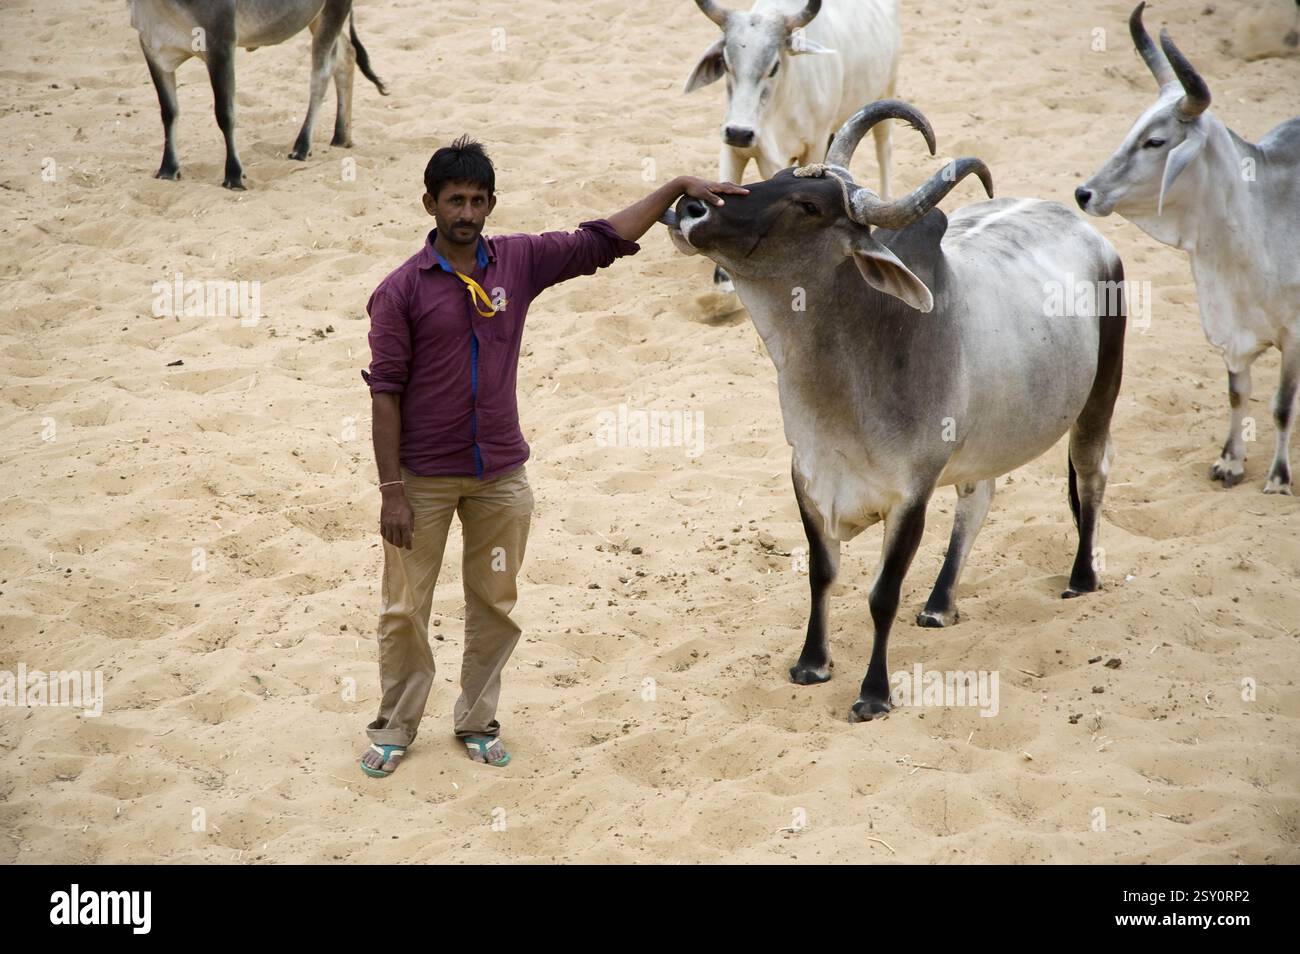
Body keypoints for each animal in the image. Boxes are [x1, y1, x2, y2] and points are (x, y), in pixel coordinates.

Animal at [129, 0, 387, 189]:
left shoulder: (220, 43)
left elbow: (225, 114)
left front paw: (234, 174)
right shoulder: (151, 47)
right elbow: (169, 111)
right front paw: (168, 169)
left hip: (333, 10)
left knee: (321, 74)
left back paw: (302, 146)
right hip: (316, 16)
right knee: (347, 55)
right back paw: (341, 136)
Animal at [660, 100, 1127, 723]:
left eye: (807, 206)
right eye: (776, 176)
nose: (691, 208)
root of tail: (1085, 230)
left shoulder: (912, 496)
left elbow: (881, 595)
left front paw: (873, 693)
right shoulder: (808, 479)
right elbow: (822, 574)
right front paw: (812, 663)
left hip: (1099, 398)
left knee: (1092, 474)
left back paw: (1081, 577)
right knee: (979, 499)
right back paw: (940, 602)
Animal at [685, 0, 900, 291]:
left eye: (773, 67)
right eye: (726, 64)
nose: (740, 132)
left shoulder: (815, 144)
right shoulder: (732, 147)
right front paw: (724, 278)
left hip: (884, 93)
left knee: (884, 150)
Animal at [1076, 3, 1300, 493]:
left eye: (1155, 141)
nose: (1084, 193)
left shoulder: (1296, 333)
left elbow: (1280, 405)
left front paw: (1278, 477)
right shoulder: (1231, 331)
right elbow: (1237, 394)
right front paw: (1230, 462)